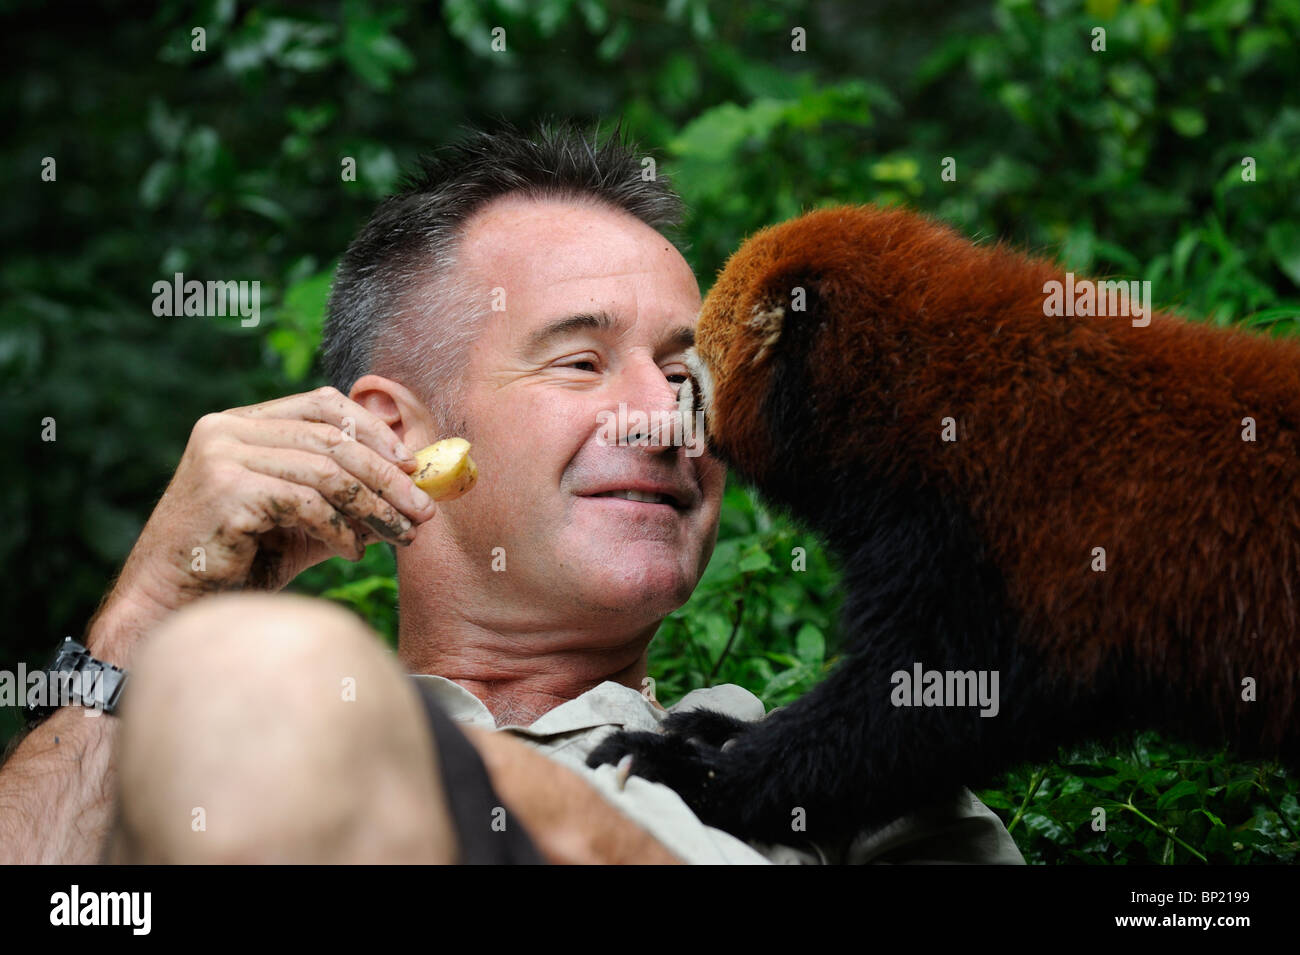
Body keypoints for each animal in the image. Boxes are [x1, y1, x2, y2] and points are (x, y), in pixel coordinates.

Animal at [587, 203, 1300, 848]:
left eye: (685, 376)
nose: (662, 418)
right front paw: (724, 732)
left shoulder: (984, 545)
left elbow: (918, 713)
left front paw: (697, 775)